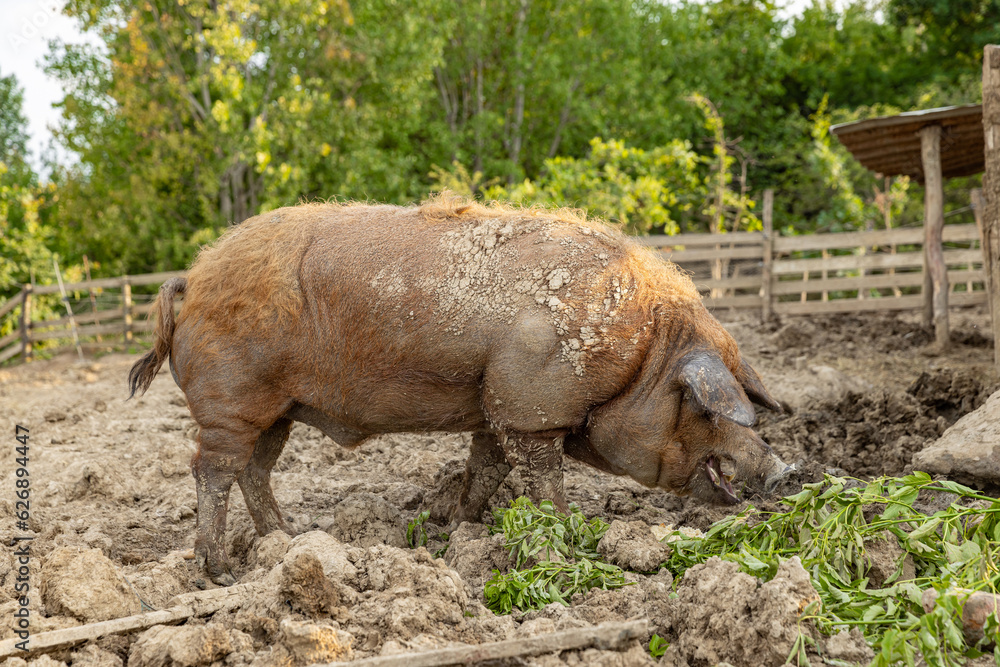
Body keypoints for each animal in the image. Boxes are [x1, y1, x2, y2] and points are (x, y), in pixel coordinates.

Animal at [128, 197, 789, 585]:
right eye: (705, 408)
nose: (785, 469)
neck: (638, 355)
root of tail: (192, 277)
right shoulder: (530, 408)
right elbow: (542, 478)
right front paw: (573, 538)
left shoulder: (496, 408)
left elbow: (486, 469)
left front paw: (457, 527)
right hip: (231, 399)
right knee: (212, 469)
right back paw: (218, 571)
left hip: (278, 410)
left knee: (254, 470)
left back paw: (287, 541)